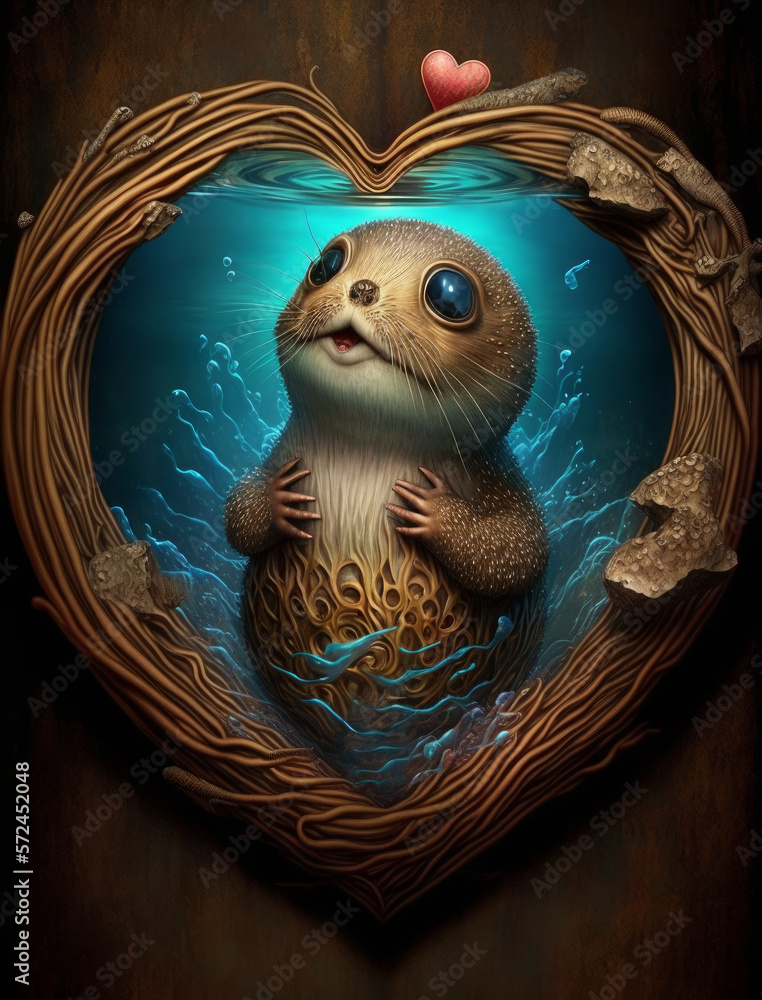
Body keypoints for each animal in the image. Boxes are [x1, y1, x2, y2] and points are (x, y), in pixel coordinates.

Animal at [224, 218, 548, 753]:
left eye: (450, 296)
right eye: (327, 264)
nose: (361, 287)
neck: (362, 460)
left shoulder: (495, 472)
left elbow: (521, 553)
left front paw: (434, 512)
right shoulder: (280, 455)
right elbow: (236, 512)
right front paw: (279, 502)